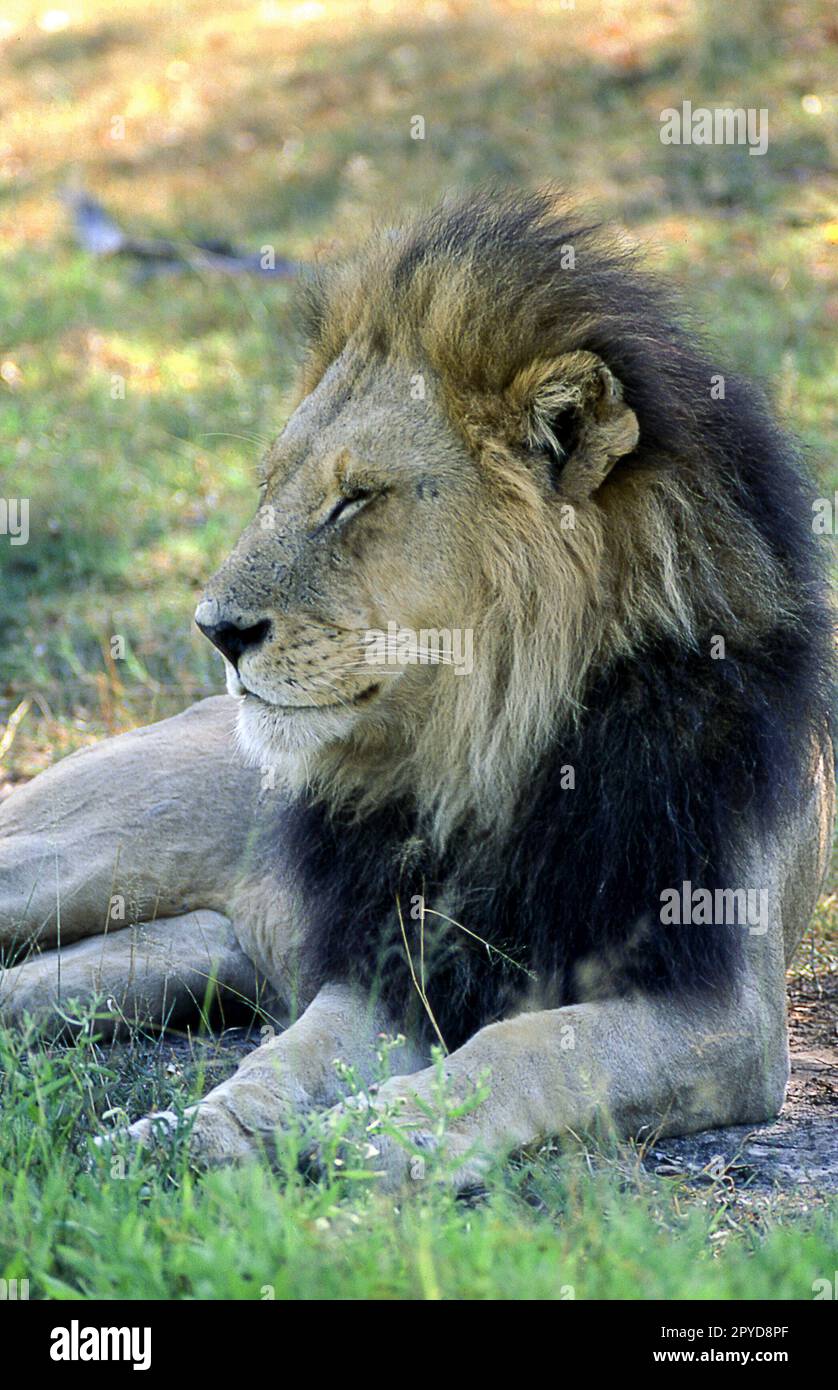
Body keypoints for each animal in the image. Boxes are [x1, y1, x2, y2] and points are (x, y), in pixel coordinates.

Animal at [1, 190, 834, 1189]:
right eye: (270, 488)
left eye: (357, 497)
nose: (216, 630)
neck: (490, 751)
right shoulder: (393, 965)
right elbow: (287, 1059)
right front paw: (191, 1137)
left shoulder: (724, 1011)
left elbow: (523, 1049)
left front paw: (371, 1142)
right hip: (75, 853)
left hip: (187, 953)